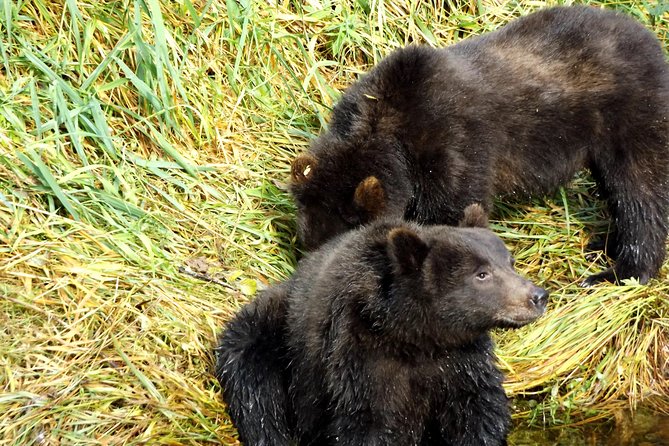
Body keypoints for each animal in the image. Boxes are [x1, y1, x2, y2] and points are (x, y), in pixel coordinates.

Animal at [215, 204, 549, 445]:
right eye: (481, 274)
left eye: (510, 262)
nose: (538, 296)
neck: (416, 336)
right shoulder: (362, 357)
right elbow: (368, 422)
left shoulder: (462, 362)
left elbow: (478, 410)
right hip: (273, 335)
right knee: (256, 392)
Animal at [289, 5, 669, 287]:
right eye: (306, 246)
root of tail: (651, 39)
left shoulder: (453, 147)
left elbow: (454, 211)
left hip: (631, 115)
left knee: (640, 192)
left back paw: (619, 272)